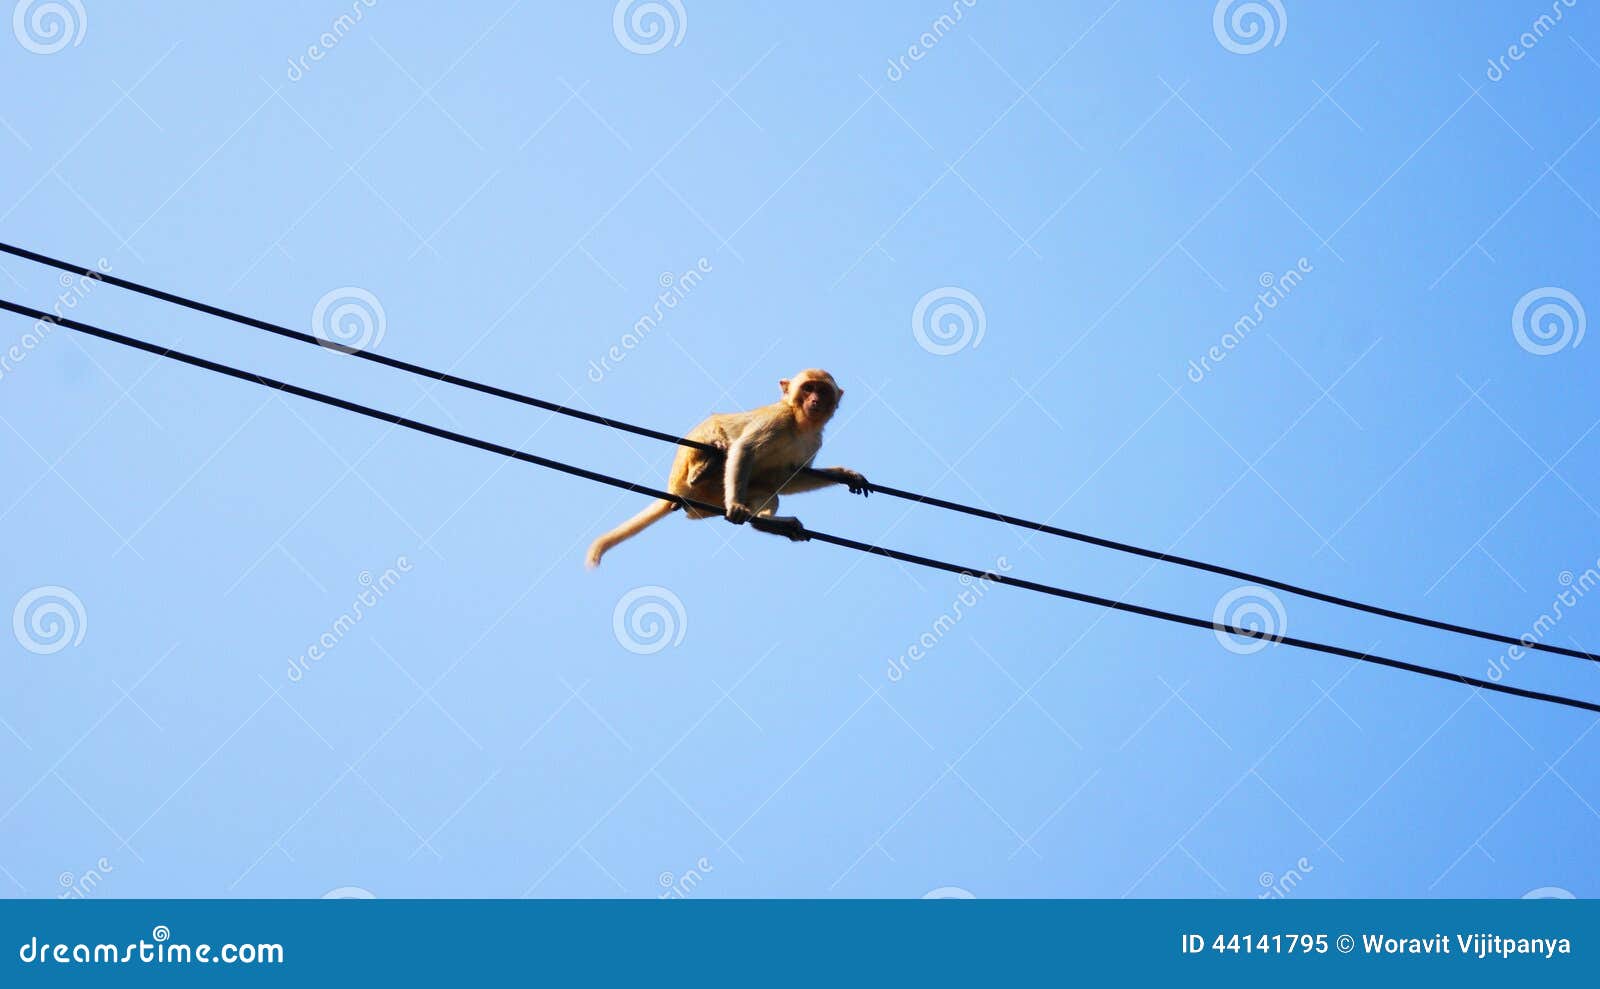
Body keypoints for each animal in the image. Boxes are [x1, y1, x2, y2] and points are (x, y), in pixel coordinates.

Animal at [586, 369, 868, 567]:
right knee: (715, 432)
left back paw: (770, 524)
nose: (814, 400)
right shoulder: (776, 419)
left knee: (768, 491)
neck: (800, 423)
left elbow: (787, 478)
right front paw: (735, 505)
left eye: (822, 391)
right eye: (808, 388)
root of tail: (674, 490)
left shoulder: (814, 441)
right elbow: (744, 449)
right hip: (686, 466)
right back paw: (703, 469)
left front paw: (845, 475)